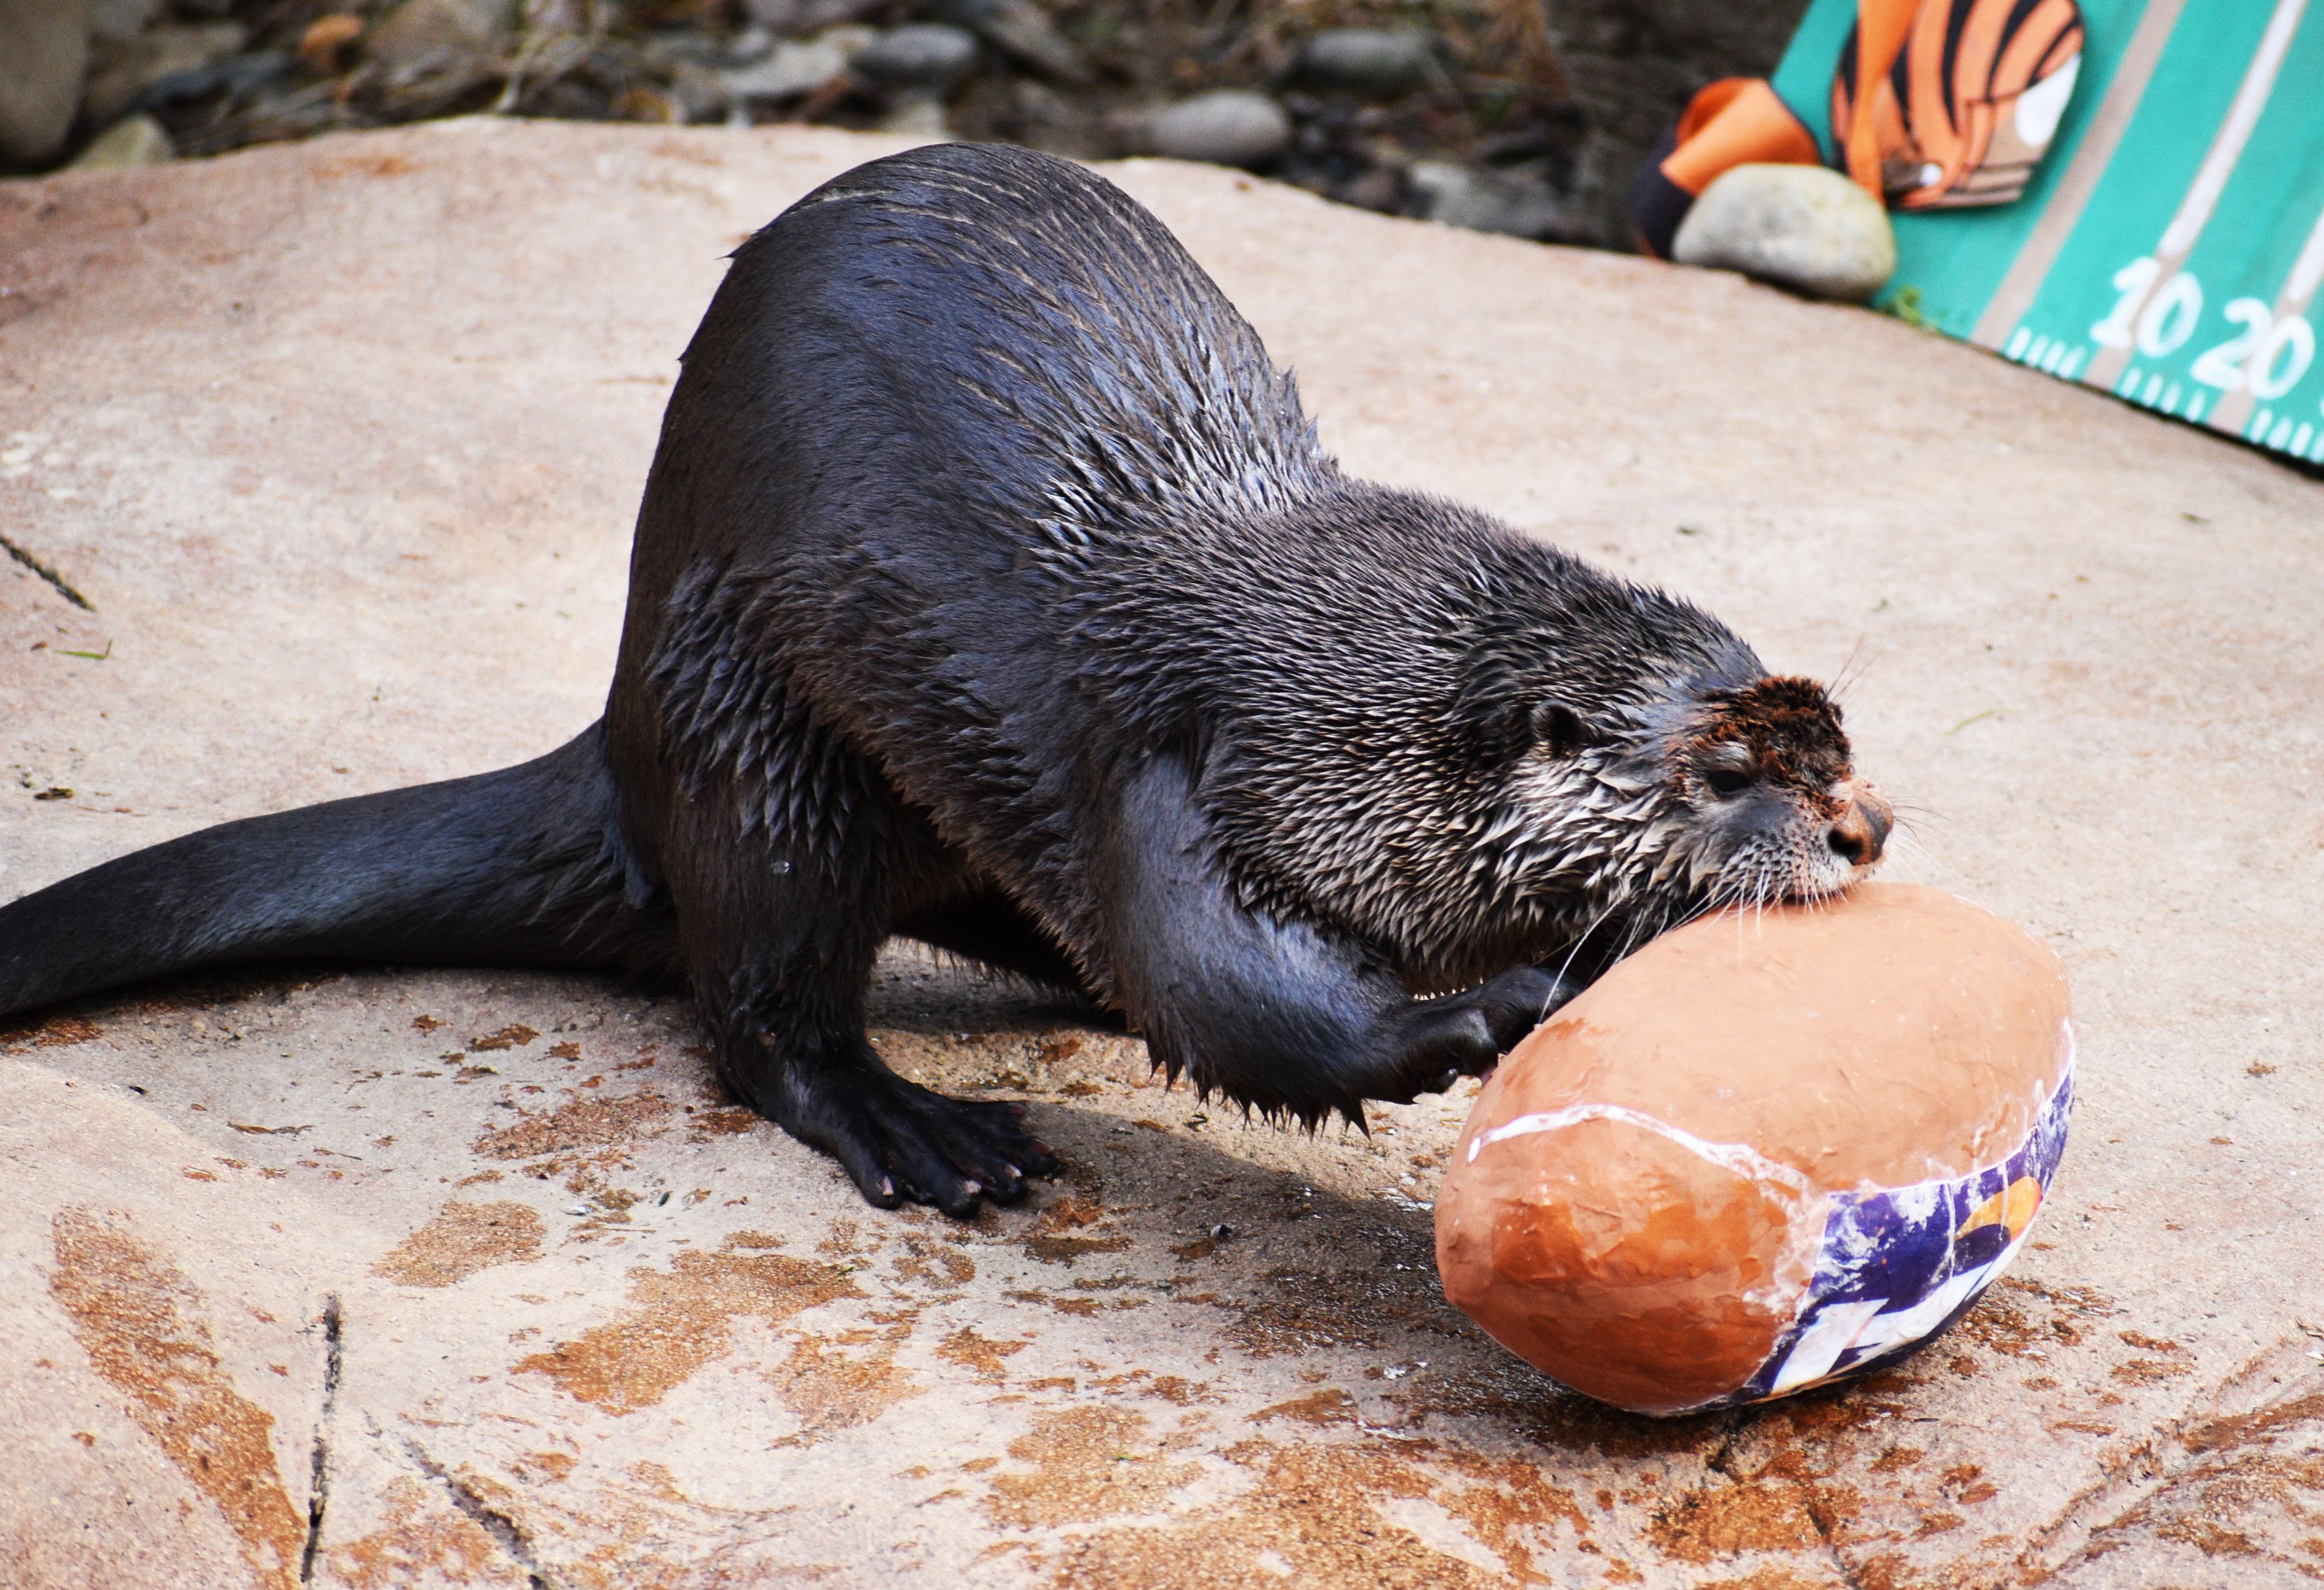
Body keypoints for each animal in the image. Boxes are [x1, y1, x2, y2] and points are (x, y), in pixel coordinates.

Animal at [0, 143, 1891, 1215]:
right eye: (1727, 773)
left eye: (1834, 736)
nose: (1863, 830)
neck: (1330, 692)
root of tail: (618, 746)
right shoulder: (1175, 764)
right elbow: (1223, 990)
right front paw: (1473, 1015)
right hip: (754, 738)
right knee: (759, 1003)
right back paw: (917, 1131)